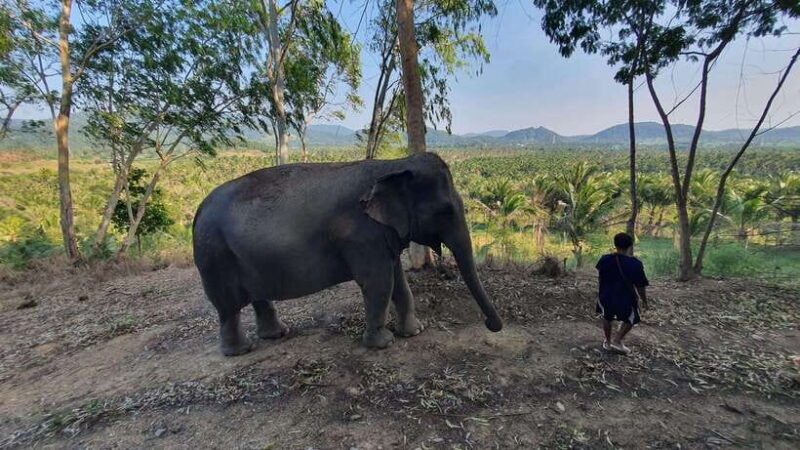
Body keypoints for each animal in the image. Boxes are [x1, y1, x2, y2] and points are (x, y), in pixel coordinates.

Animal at [192, 152, 503, 356]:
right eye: (446, 211)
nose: (491, 326)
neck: (393, 164)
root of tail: (198, 210)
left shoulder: (383, 234)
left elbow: (398, 281)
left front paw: (414, 332)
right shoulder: (361, 235)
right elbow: (379, 283)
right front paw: (384, 344)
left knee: (258, 297)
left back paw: (277, 335)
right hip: (214, 256)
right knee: (227, 307)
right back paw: (241, 350)